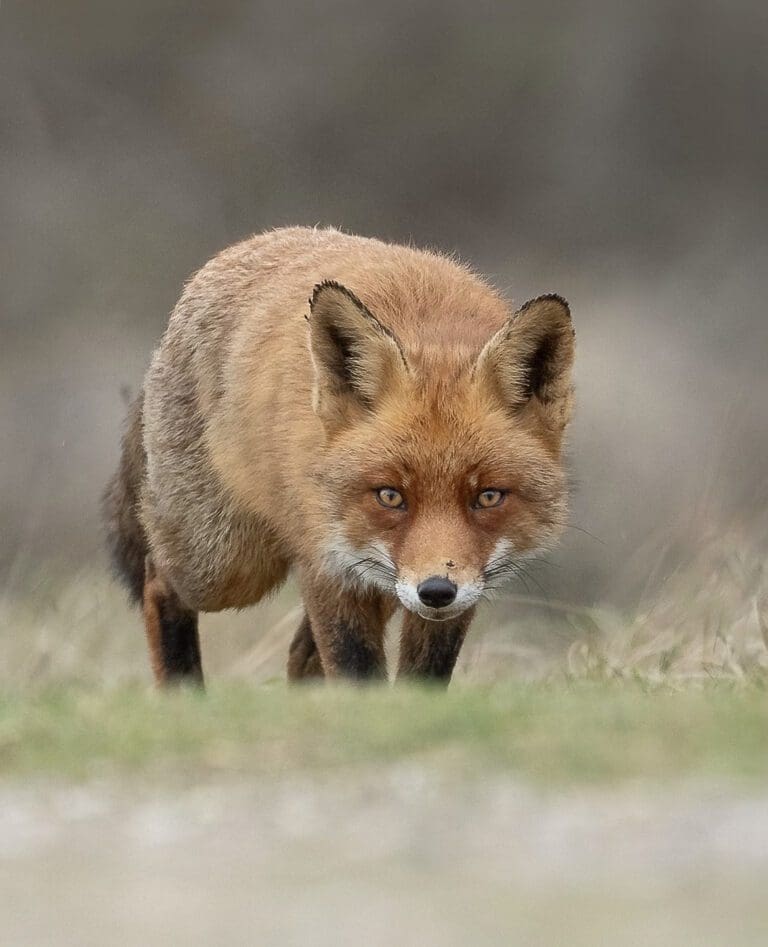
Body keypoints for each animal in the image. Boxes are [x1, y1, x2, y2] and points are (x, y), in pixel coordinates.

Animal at [102, 226, 575, 686]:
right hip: (226, 562)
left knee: (300, 656)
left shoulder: (458, 584)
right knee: (159, 582)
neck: (433, 336)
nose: (437, 590)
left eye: (488, 497)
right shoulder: (328, 563)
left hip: (379, 579)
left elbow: (424, 675)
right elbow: (355, 667)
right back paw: (183, 692)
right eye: (390, 496)